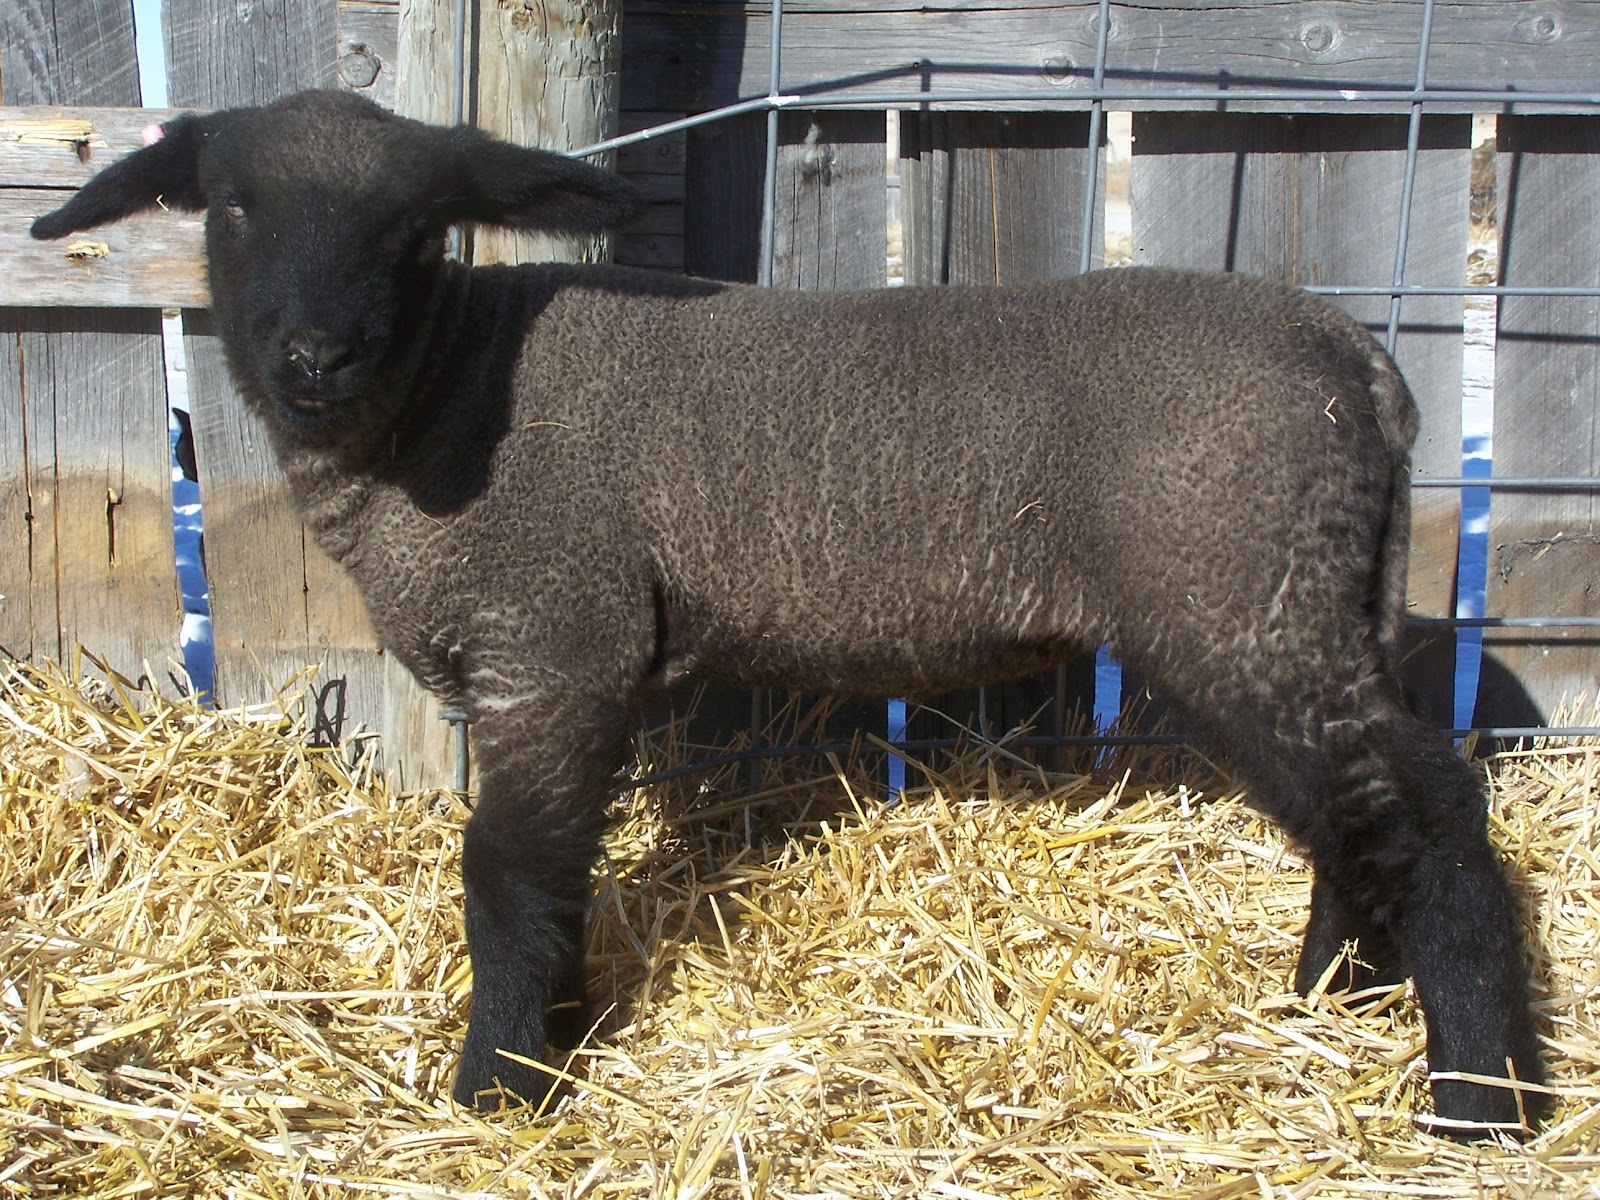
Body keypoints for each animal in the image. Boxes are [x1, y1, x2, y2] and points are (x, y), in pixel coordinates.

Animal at [33, 89, 1545, 1137]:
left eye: (414, 227)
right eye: (228, 206)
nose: (314, 357)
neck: (447, 394)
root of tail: (1359, 361)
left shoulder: (554, 640)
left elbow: (506, 875)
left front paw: (497, 1088)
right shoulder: (570, 670)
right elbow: (559, 874)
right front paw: (558, 1034)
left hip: (1240, 595)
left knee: (1427, 812)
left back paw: (1479, 1098)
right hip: (1300, 607)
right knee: (1360, 810)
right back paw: (1329, 1002)